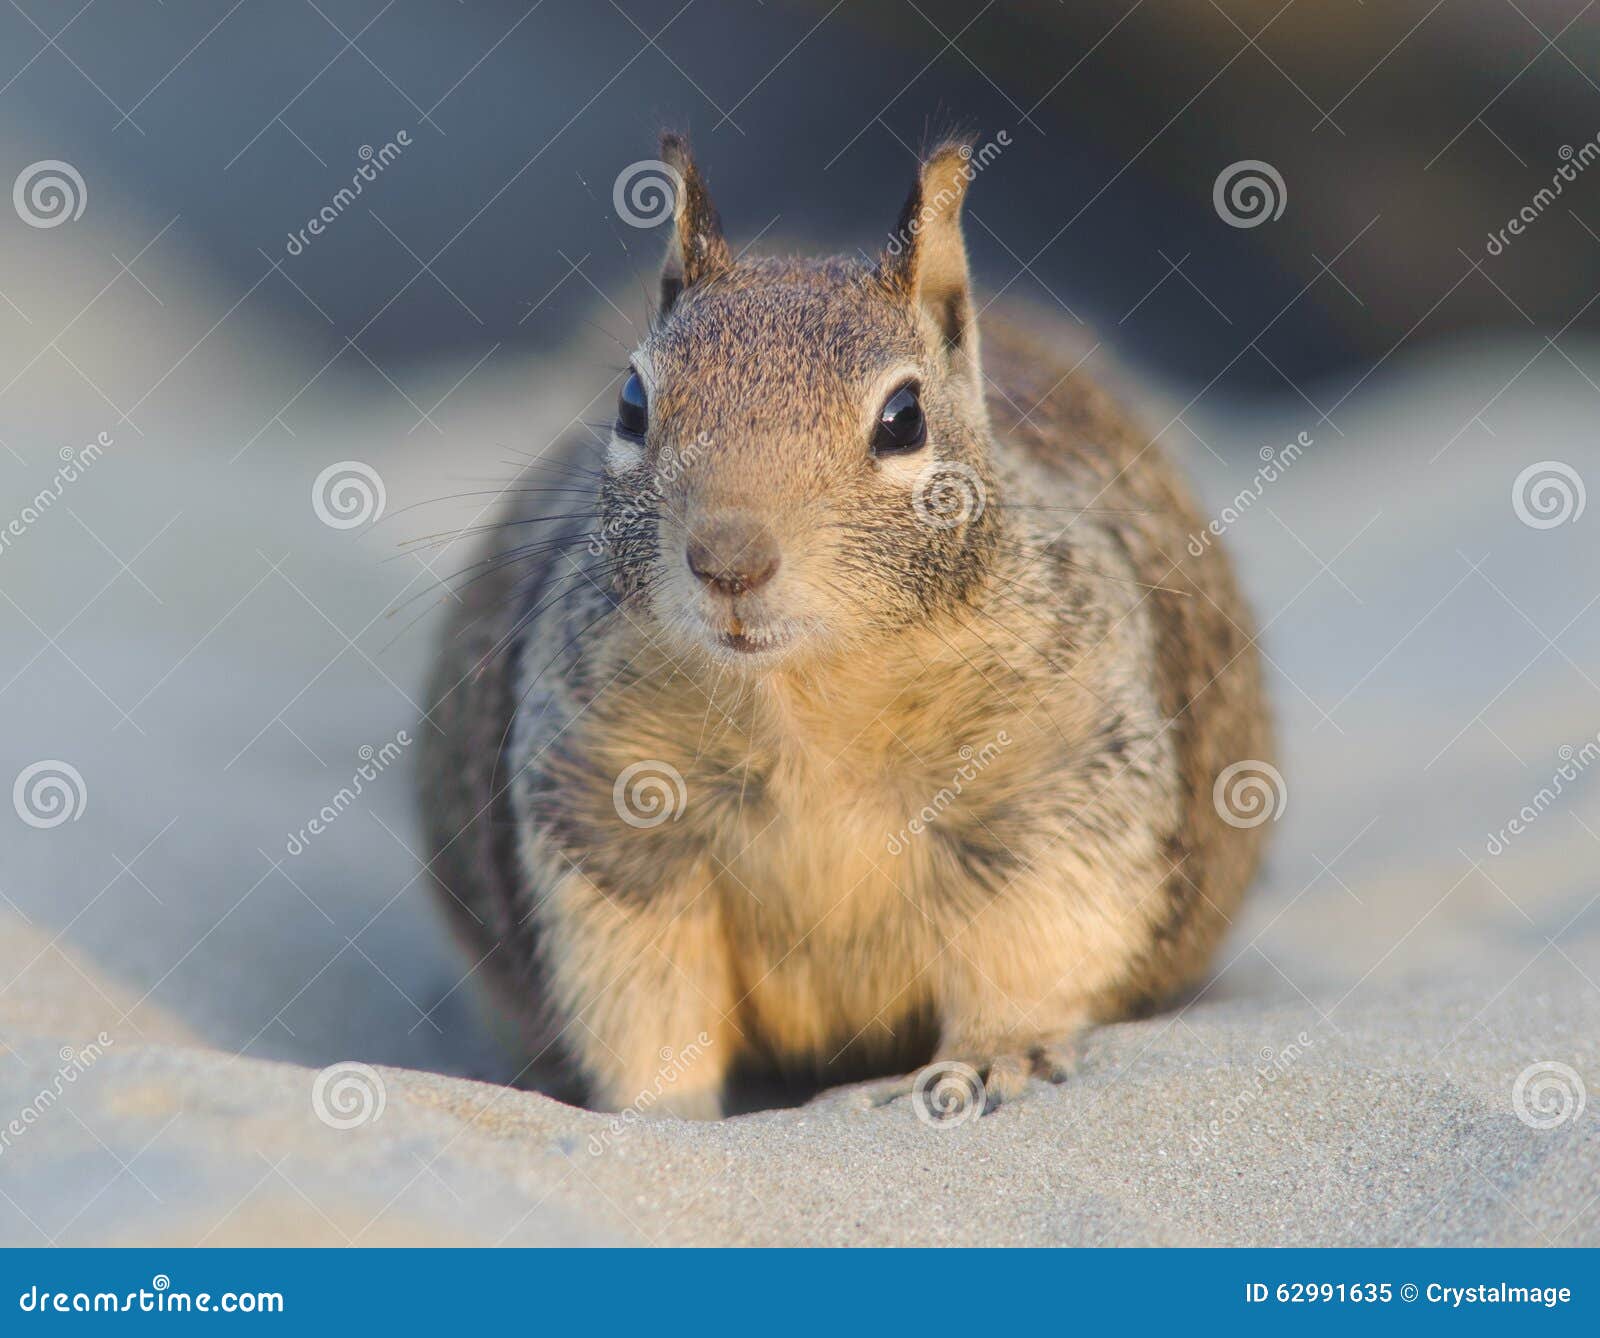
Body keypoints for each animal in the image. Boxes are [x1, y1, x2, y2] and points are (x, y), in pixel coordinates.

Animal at [418, 132, 1272, 1120]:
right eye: (631, 402)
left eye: (903, 419)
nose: (729, 561)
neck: (805, 699)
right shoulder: (605, 808)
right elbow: (641, 993)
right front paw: (664, 1115)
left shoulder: (1056, 775)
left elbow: (1034, 938)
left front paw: (994, 1056)